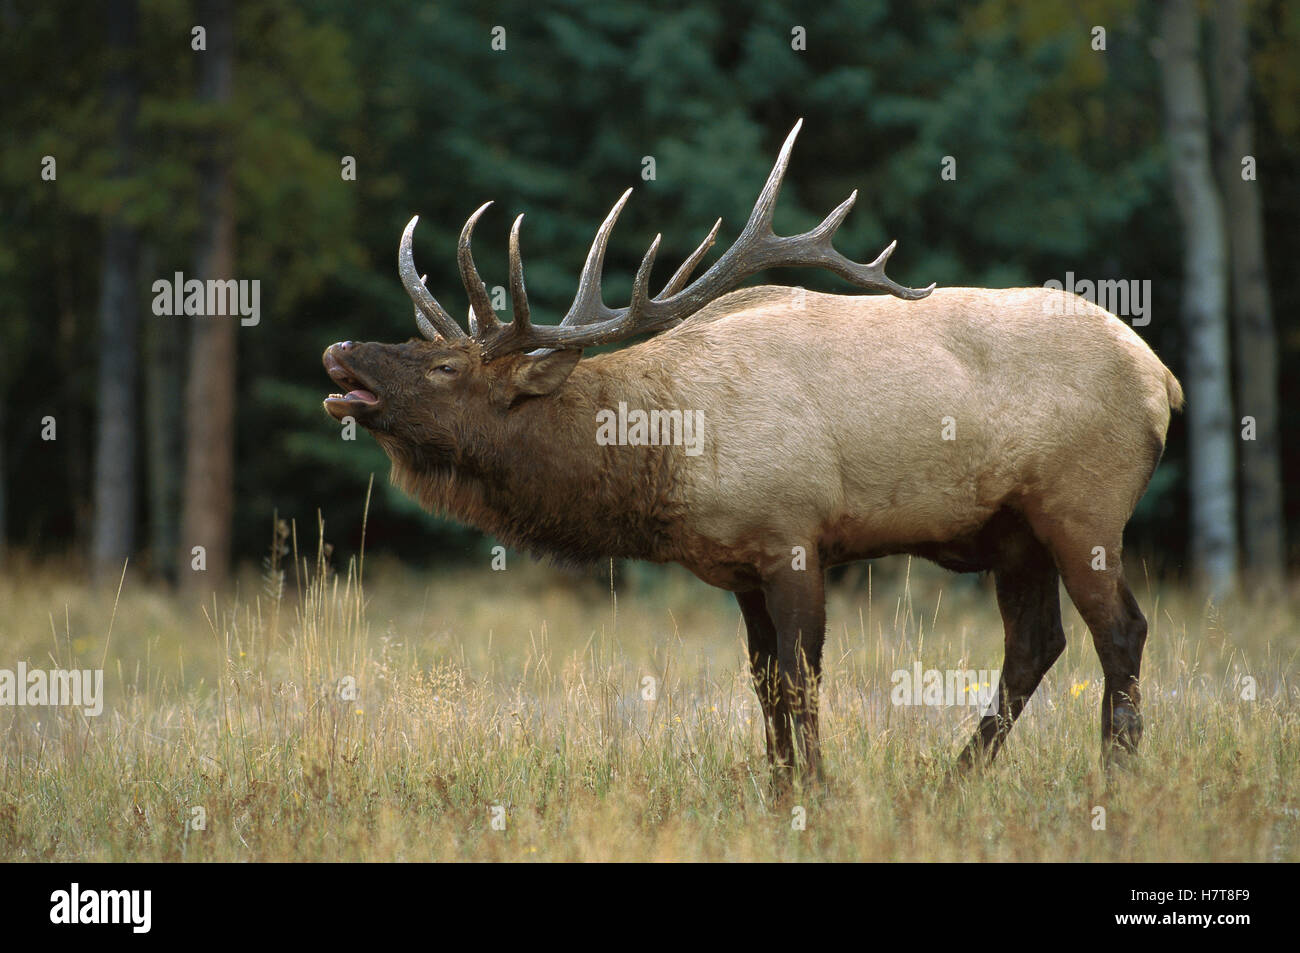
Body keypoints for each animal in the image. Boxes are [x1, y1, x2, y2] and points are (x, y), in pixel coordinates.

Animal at [322, 120, 1183, 786]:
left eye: (448, 366)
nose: (341, 351)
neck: (667, 450)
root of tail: (1161, 378)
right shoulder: (739, 566)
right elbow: (766, 685)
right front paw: (778, 790)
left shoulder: (794, 533)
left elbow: (802, 680)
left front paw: (819, 790)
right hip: (1013, 532)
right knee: (1035, 644)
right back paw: (953, 779)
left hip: (1083, 505)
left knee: (1121, 631)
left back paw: (1116, 776)